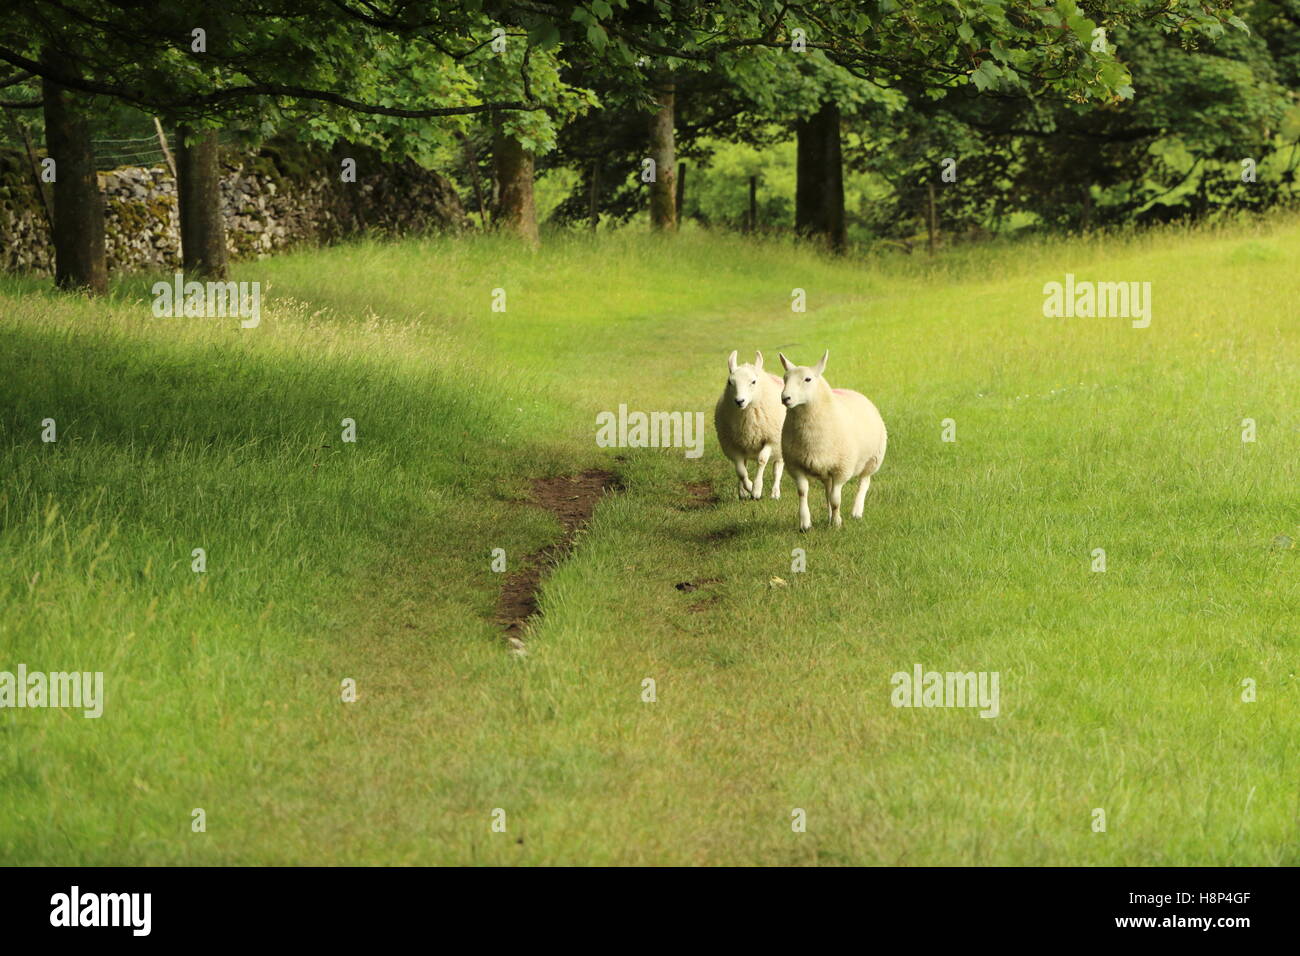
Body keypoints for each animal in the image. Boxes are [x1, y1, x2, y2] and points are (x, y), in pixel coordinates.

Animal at [714, 350, 786, 500]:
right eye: (730, 382)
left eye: (753, 382)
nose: (739, 401)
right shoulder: (732, 445)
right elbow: (740, 470)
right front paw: (749, 487)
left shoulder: (771, 439)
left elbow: (762, 460)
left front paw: (757, 490)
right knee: (744, 465)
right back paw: (742, 492)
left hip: (781, 445)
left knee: (777, 469)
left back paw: (775, 492)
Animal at [778, 350, 887, 531]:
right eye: (785, 378)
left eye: (808, 379)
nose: (785, 398)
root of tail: (852, 391)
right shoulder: (795, 465)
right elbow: (803, 493)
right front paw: (805, 524)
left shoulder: (841, 469)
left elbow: (836, 499)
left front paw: (837, 523)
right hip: (826, 470)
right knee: (827, 491)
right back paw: (829, 516)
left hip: (872, 460)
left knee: (864, 483)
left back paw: (856, 511)